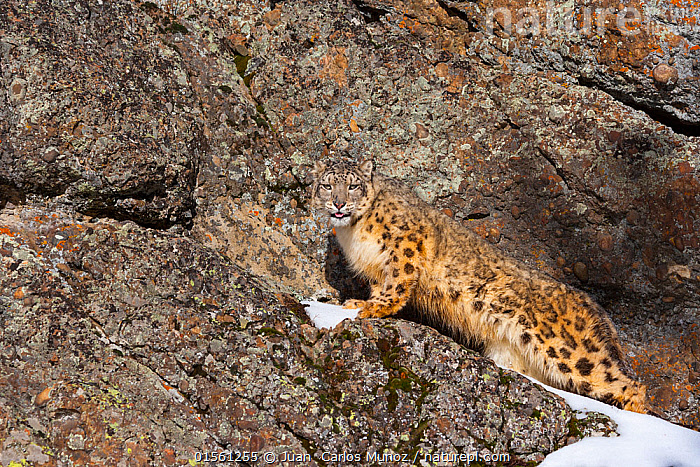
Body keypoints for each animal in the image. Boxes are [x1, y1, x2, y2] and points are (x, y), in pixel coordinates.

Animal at [311, 159, 648, 413]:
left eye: (352, 185)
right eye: (327, 185)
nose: (338, 202)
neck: (353, 234)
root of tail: (593, 306)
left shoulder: (407, 243)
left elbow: (396, 283)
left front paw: (369, 306)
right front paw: (361, 301)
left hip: (569, 350)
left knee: (627, 383)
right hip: (517, 357)